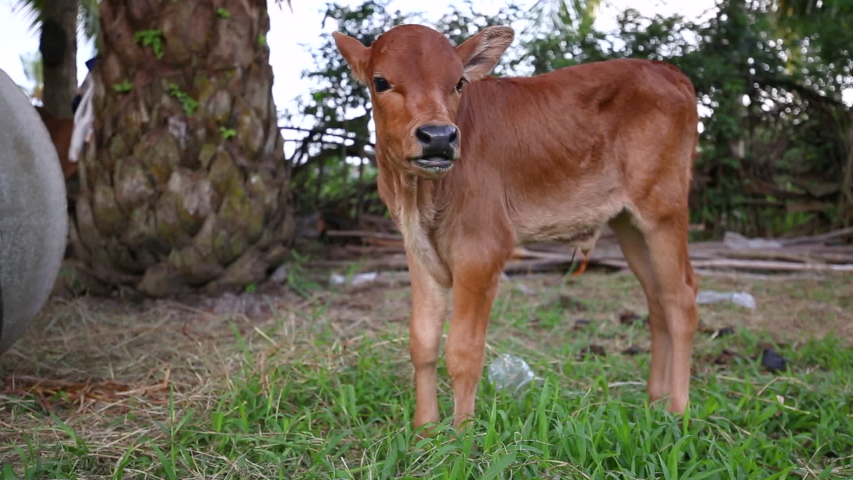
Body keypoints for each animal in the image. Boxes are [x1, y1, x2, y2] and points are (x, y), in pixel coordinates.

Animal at [333, 24, 700, 431]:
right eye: (380, 82)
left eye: (459, 82)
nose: (439, 136)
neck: (420, 197)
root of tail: (667, 70)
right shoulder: (418, 250)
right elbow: (422, 342)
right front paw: (424, 430)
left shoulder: (483, 248)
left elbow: (463, 352)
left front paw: (461, 436)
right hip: (628, 224)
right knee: (657, 298)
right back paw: (654, 402)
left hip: (663, 209)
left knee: (682, 298)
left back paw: (679, 410)